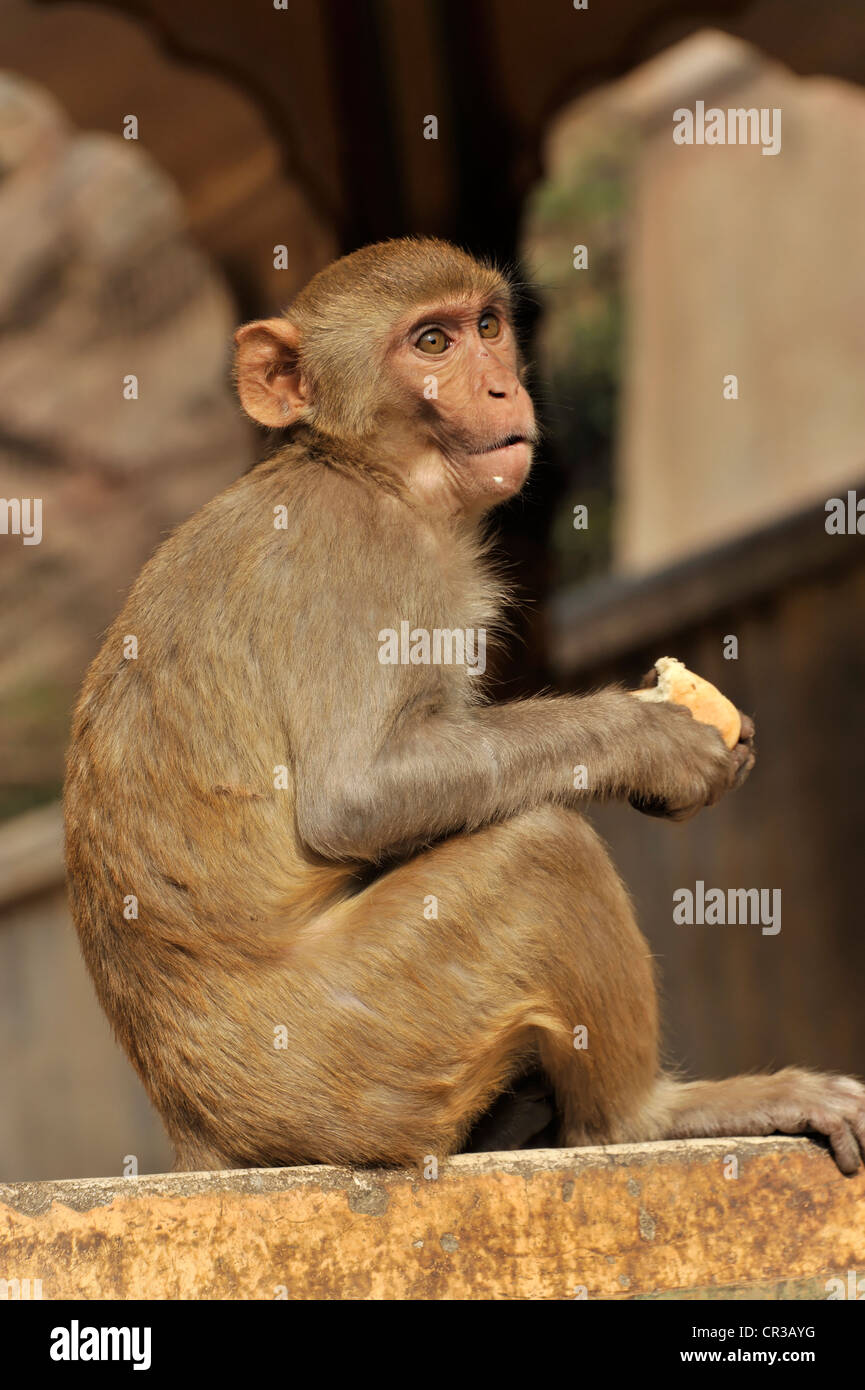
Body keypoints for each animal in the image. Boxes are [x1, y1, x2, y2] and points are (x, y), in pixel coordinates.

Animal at [64, 237, 865, 1176]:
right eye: (430, 344)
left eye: (485, 327)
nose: (501, 389)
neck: (363, 471)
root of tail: (203, 1135)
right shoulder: (361, 555)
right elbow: (354, 797)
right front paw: (654, 741)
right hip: (346, 1056)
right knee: (543, 849)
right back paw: (644, 1118)